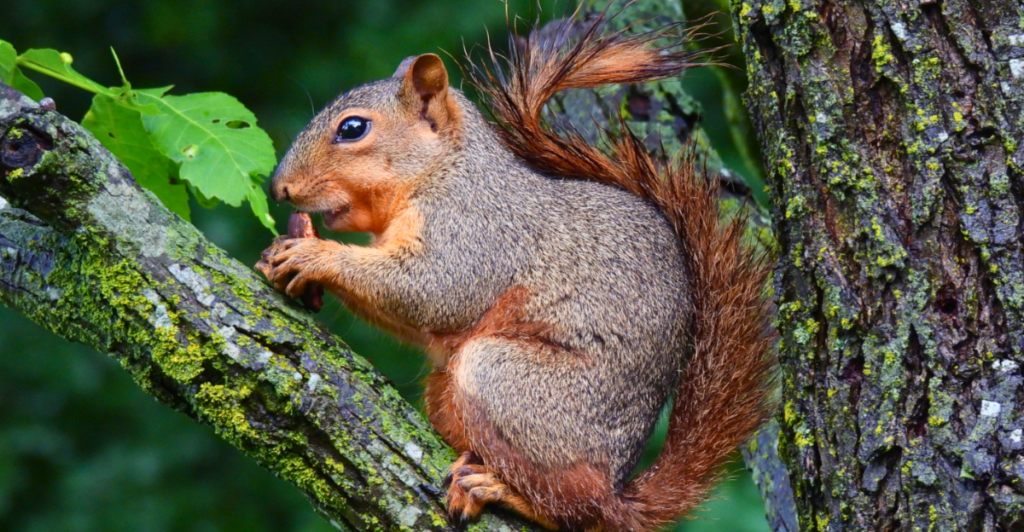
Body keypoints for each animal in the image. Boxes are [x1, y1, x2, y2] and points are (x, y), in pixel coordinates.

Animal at [256, 12, 775, 532]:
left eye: (353, 128)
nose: (279, 188)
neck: (442, 171)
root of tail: (620, 491)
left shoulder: (475, 233)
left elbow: (431, 292)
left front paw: (314, 255)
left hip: (510, 383)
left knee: (578, 510)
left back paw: (498, 490)